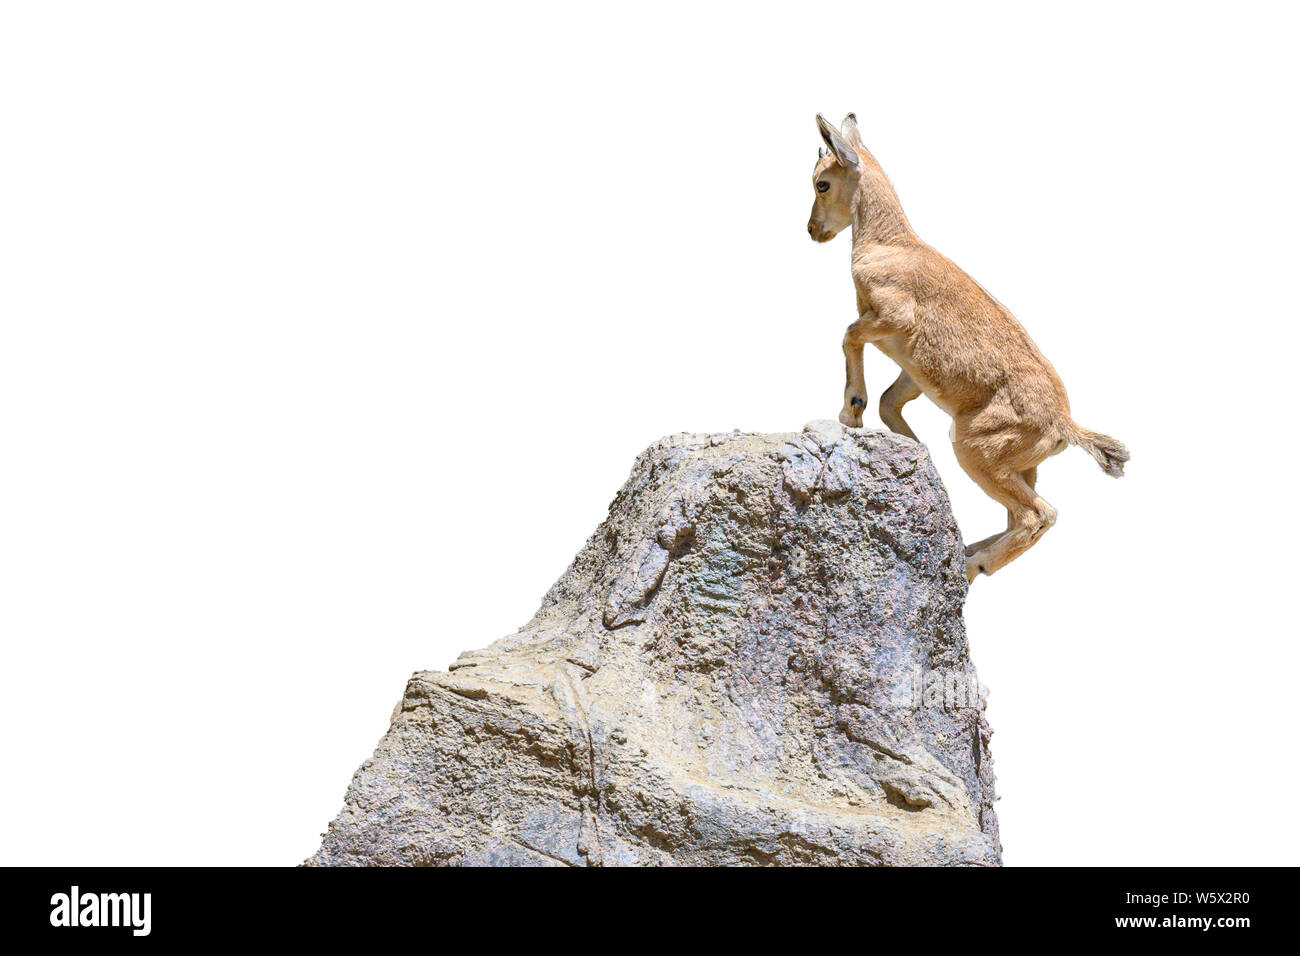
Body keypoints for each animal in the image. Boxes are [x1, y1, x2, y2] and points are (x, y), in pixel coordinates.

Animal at [808, 113, 1128, 583]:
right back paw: (966, 549)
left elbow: (849, 336)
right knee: (1018, 517)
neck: (887, 245)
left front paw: (850, 412)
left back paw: (971, 564)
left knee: (1038, 515)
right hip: (1020, 466)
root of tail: (1063, 426)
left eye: (822, 183)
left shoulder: (892, 318)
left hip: (977, 449)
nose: (813, 230)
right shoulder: (911, 369)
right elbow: (889, 402)